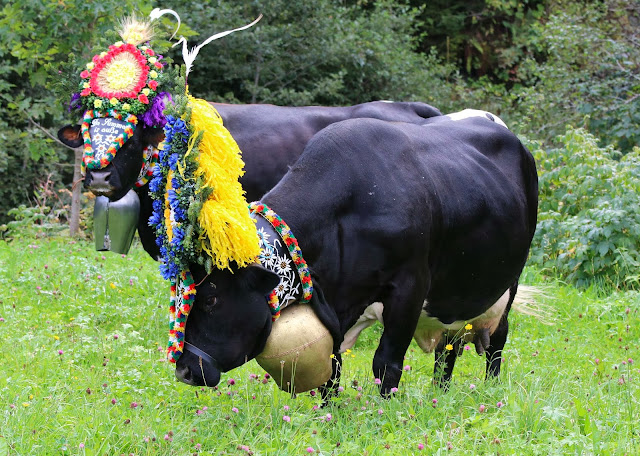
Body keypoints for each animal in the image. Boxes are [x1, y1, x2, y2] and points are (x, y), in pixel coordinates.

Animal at [171, 115, 538, 397]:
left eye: (212, 299)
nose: (184, 370)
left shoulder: (410, 286)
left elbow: (386, 362)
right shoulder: (335, 300)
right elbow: (331, 367)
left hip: (510, 282)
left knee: (496, 340)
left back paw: (490, 390)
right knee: (448, 347)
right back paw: (441, 393)